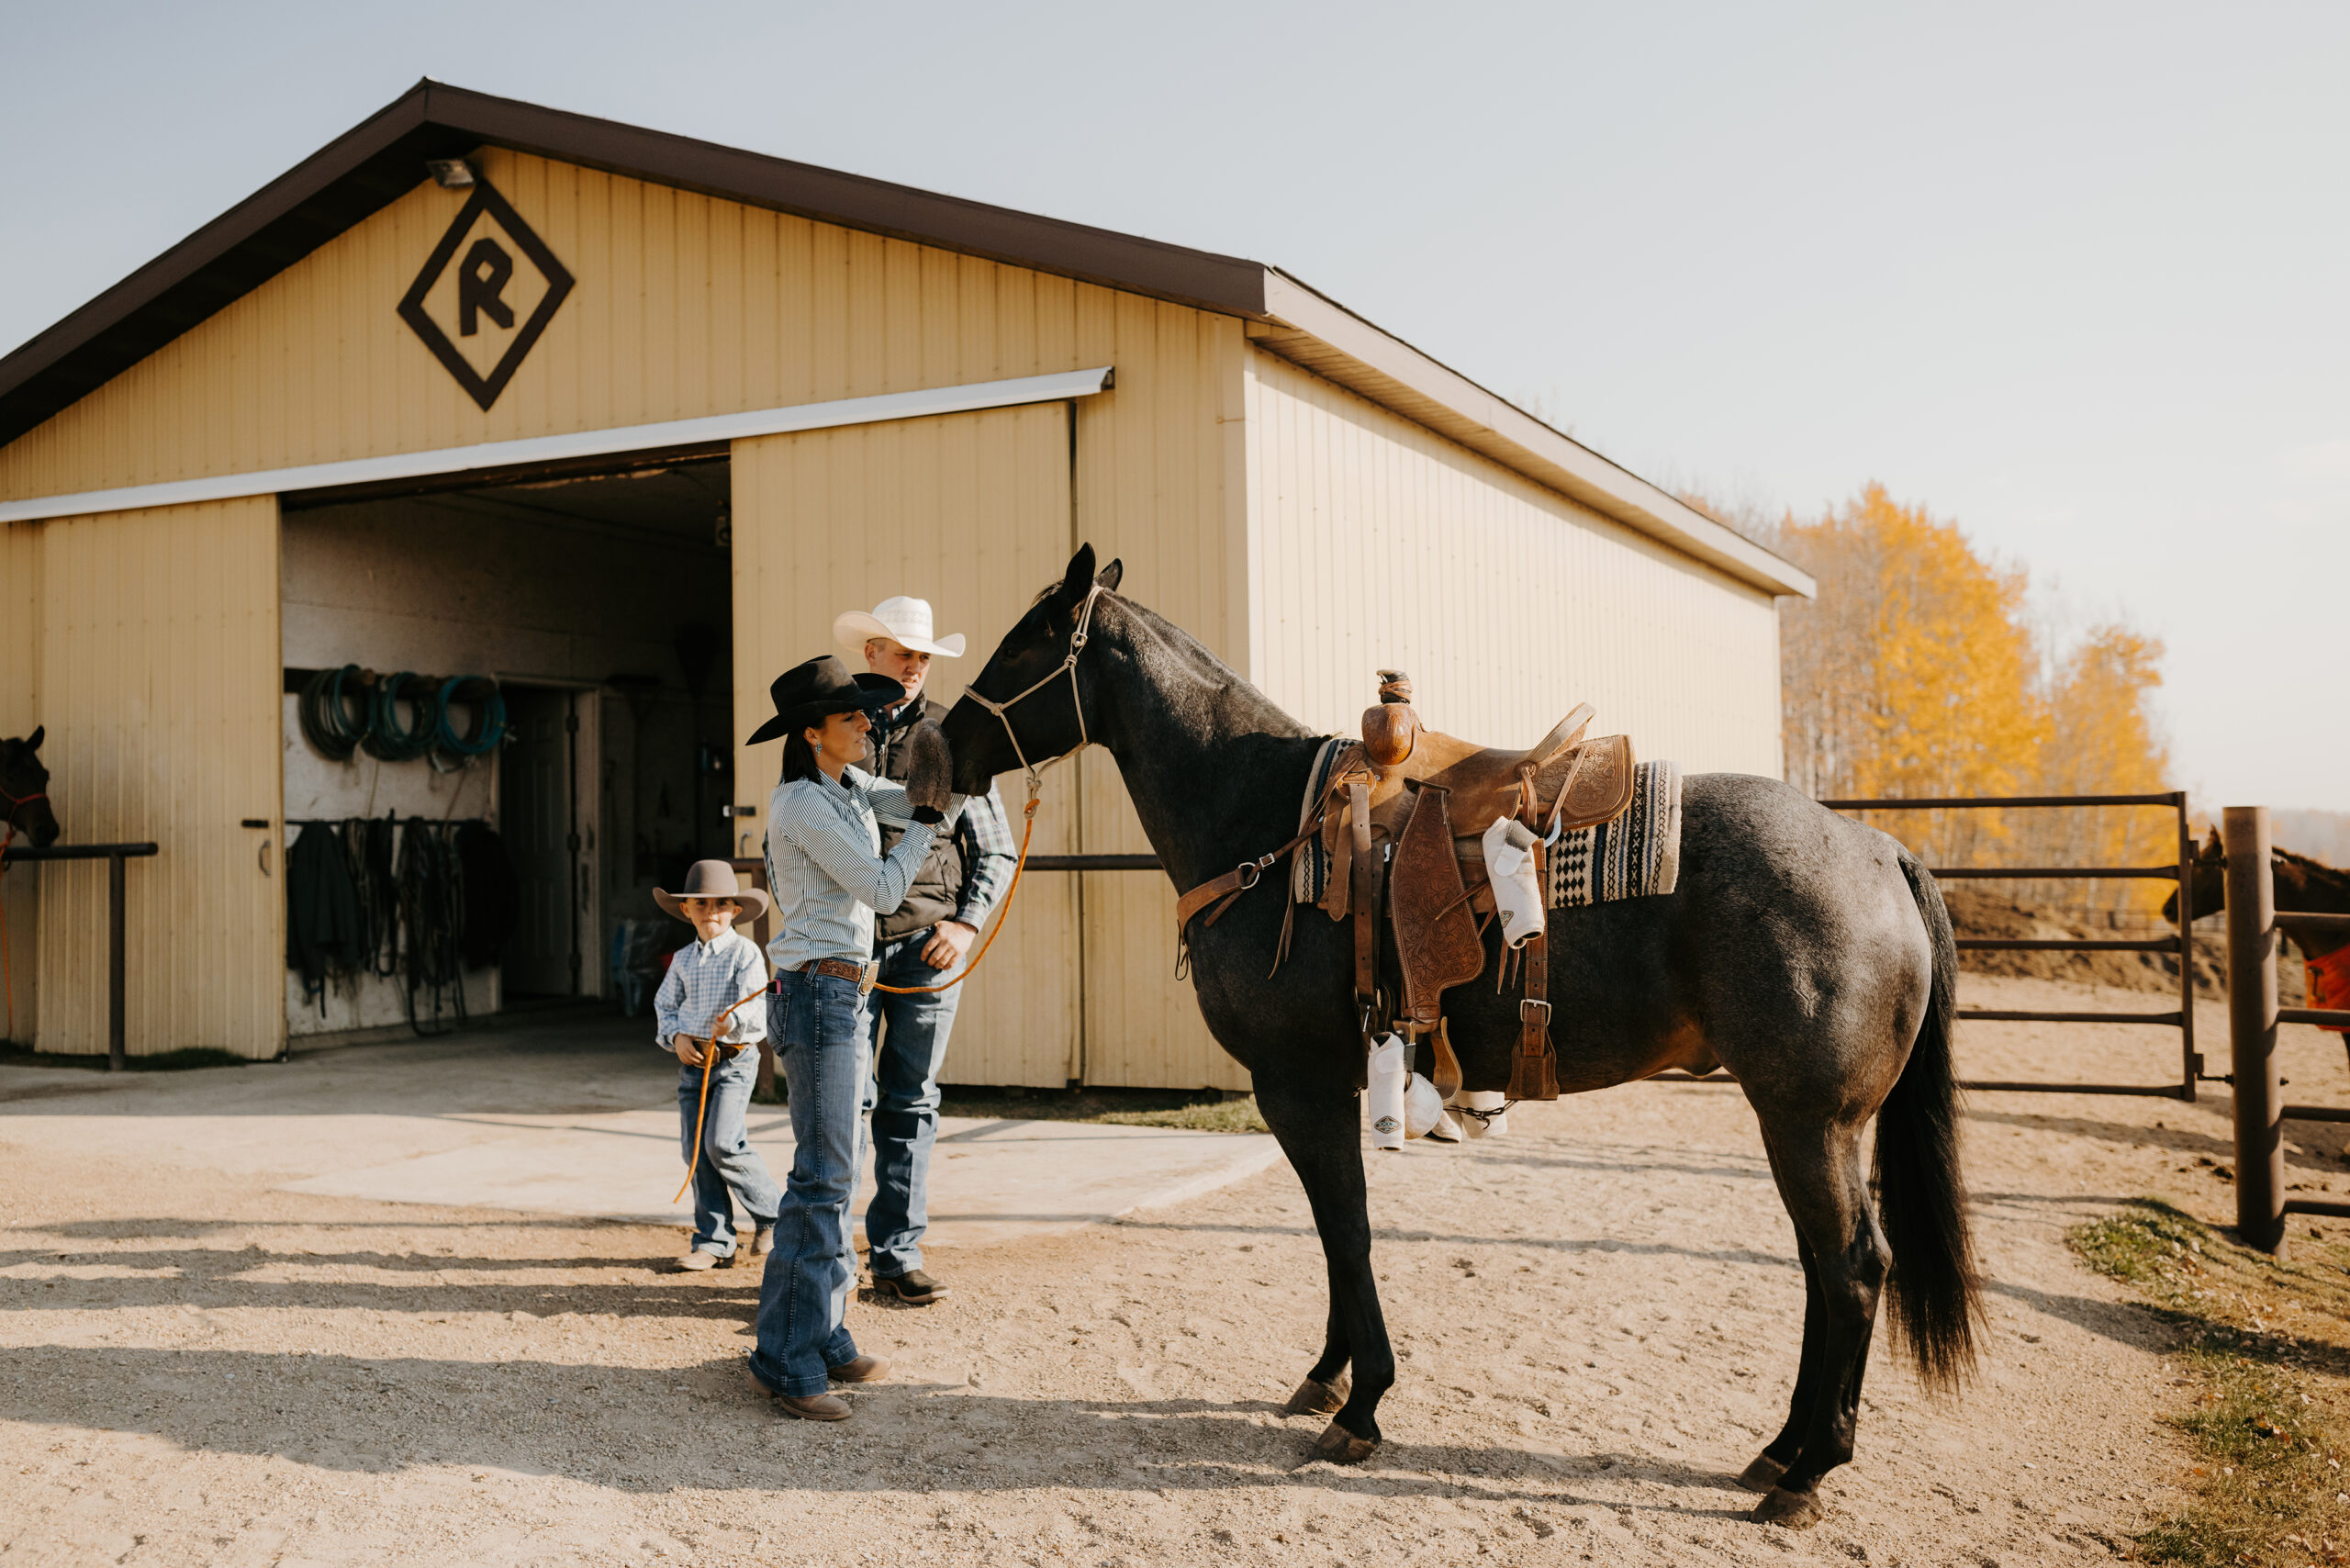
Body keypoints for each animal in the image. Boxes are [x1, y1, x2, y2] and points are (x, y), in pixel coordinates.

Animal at [940, 547, 1982, 1530]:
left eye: (1027, 642)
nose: (937, 743)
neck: (1265, 823)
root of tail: (1878, 849)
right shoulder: (1331, 1087)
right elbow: (1335, 1231)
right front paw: (1327, 1376)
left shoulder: (1295, 1086)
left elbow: (1347, 1229)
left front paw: (1360, 1408)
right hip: (1806, 1124)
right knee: (1823, 1272)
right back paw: (1778, 1452)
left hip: (1807, 1122)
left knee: (1852, 1271)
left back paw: (1806, 1472)